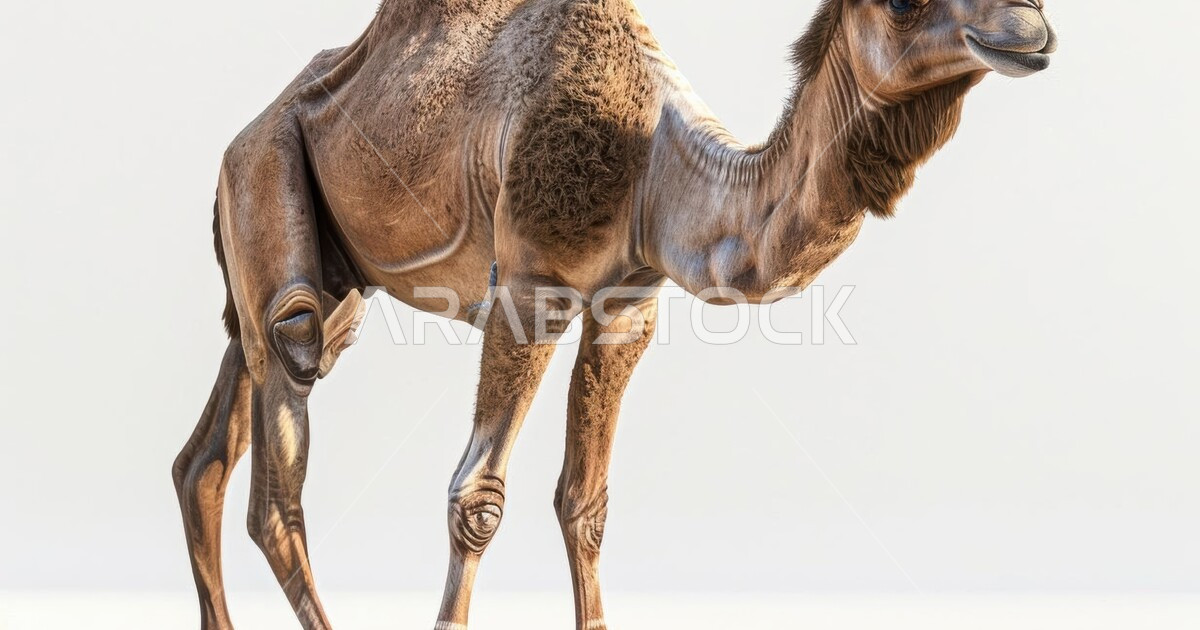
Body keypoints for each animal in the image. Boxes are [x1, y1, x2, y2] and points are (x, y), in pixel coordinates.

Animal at [171, 0, 1057, 628]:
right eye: (904, 1)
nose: (1032, 28)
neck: (655, 167)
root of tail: (236, 142)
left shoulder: (627, 306)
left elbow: (586, 503)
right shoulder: (530, 288)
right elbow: (477, 499)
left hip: (326, 273)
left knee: (209, 448)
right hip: (265, 174)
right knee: (284, 412)